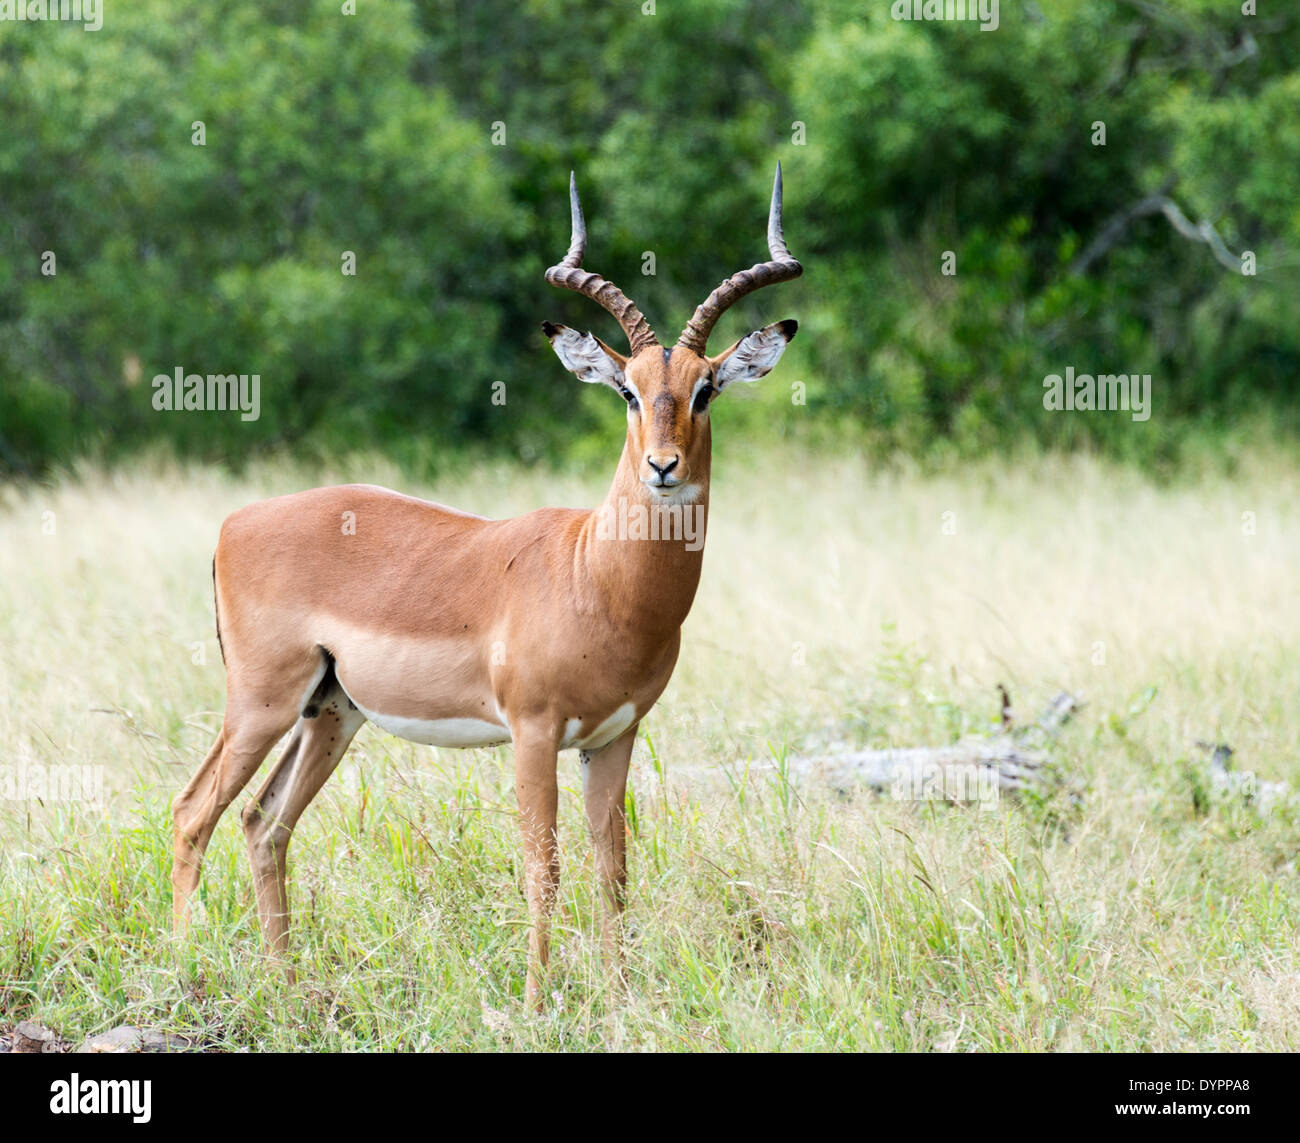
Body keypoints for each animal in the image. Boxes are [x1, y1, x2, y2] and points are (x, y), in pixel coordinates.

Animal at [171, 164, 802, 1006]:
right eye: (628, 391)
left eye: (706, 389)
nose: (662, 467)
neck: (597, 576)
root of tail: (233, 523)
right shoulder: (533, 732)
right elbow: (544, 868)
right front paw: (536, 1004)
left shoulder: (613, 736)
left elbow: (614, 872)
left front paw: (620, 999)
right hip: (260, 702)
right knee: (193, 812)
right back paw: (183, 970)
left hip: (330, 712)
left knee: (263, 823)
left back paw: (289, 985)